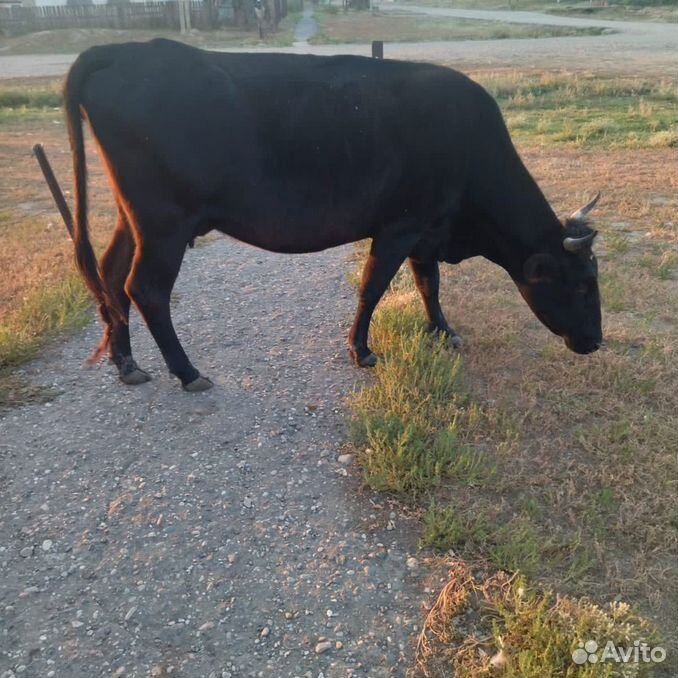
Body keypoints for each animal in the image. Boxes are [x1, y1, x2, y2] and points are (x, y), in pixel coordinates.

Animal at [63, 38, 604, 394]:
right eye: (581, 285)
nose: (596, 342)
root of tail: (124, 48)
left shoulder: (428, 228)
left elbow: (428, 284)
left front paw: (443, 331)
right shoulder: (401, 224)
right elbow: (373, 286)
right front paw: (360, 350)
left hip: (135, 217)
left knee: (111, 275)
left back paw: (126, 363)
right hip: (165, 222)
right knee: (146, 288)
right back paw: (187, 372)